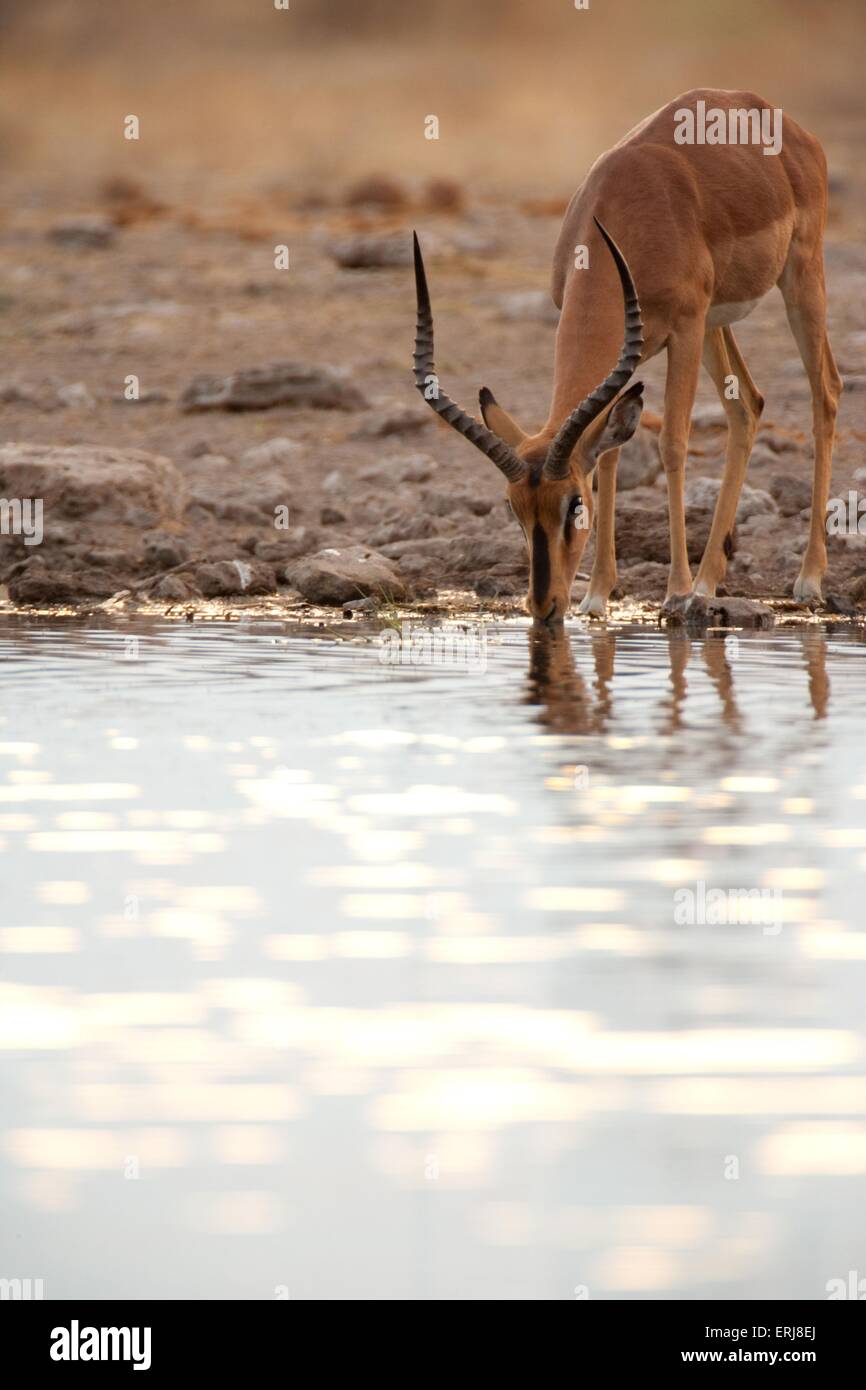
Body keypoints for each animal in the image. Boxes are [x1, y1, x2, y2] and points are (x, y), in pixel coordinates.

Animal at [412, 88, 842, 621]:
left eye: (574, 504)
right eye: (514, 508)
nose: (544, 605)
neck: (622, 207)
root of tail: (773, 115)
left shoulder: (683, 328)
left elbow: (672, 444)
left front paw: (675, 592)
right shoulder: (630, 348)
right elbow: (610, 455)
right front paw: (597, 595)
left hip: (797, 281)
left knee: (826, 392)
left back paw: (806, 579)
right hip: (715, 325)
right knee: (747, 405)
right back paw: (709, 583)